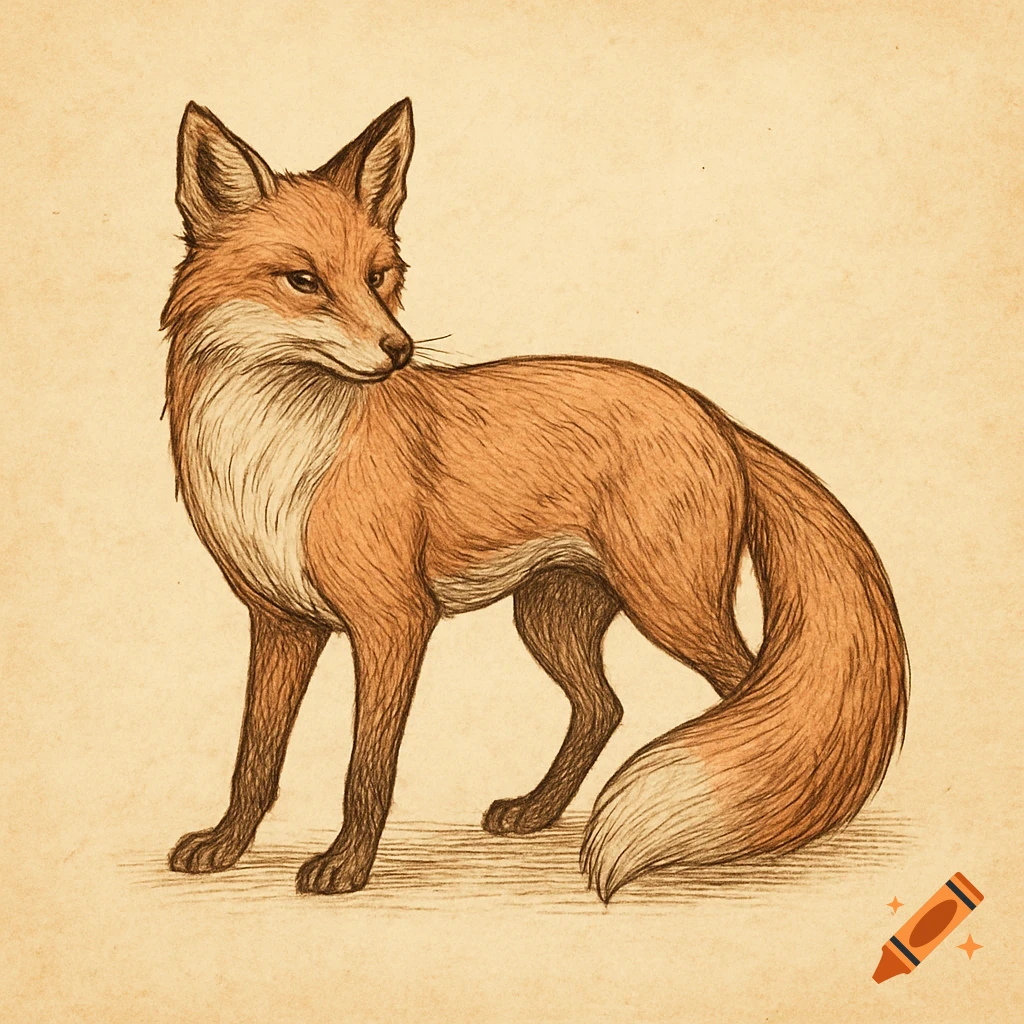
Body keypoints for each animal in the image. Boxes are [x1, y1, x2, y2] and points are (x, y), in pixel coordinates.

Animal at [162, 98, 908, 902]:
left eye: (379, 276)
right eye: (303, 280)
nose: (399, 351)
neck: (273, 454)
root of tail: (713, 412)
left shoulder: (395, 621)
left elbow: (367, 769)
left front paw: (349, 865)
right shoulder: (281, 623)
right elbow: (255, 759)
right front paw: (226, 845)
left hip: (670, 604)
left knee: (751, 698)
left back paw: (770, 834)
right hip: (551, 614)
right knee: (604, 707)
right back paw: (540, 810)